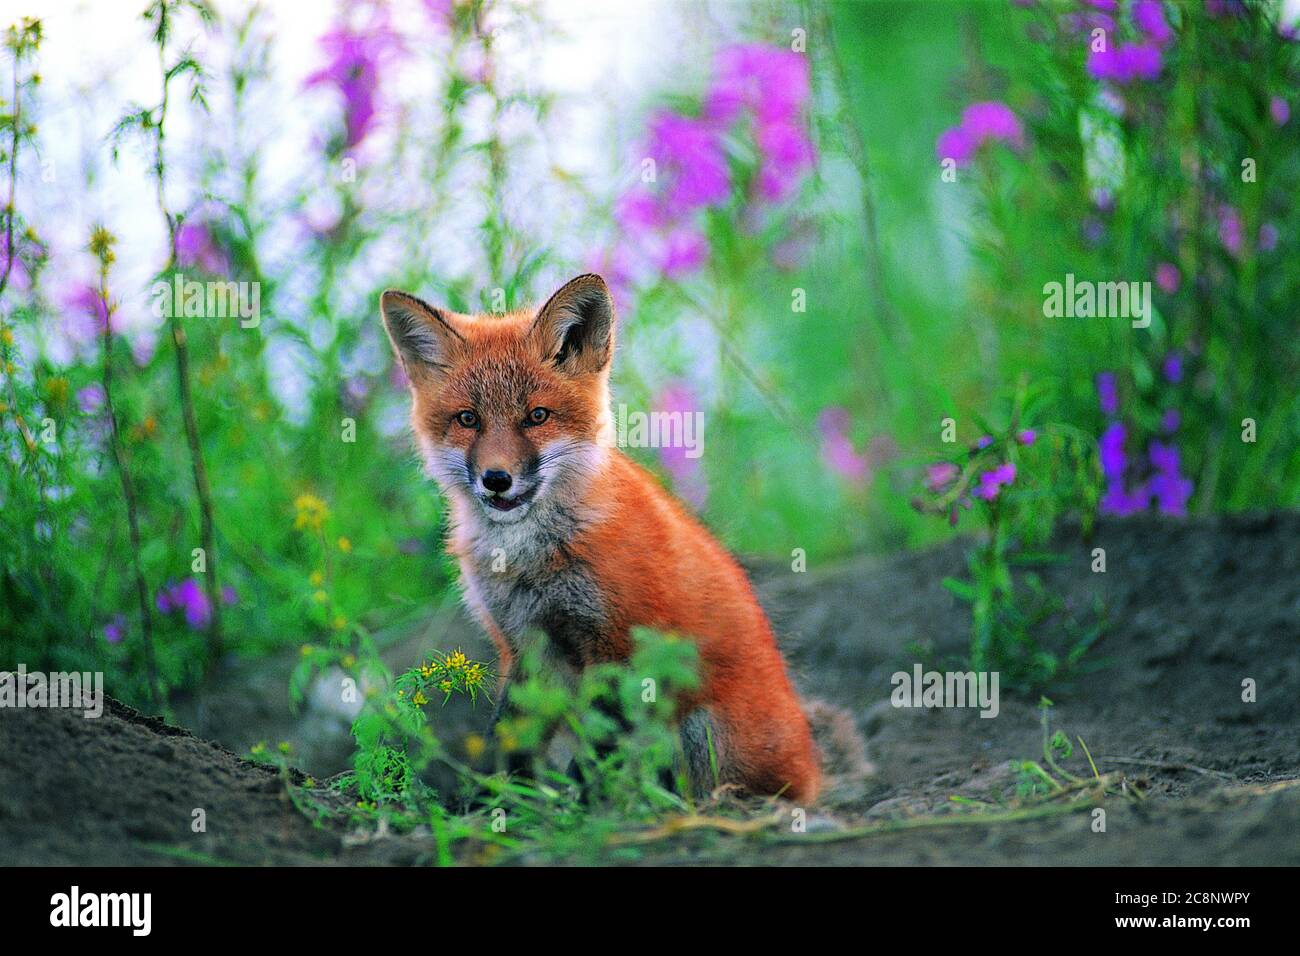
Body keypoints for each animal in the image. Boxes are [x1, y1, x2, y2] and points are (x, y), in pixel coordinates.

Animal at [380, 273, 820, 802]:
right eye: (468, 419)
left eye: (537, 416)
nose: (496, 479)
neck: (533, 557)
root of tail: (811, 772)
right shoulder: (525, 647)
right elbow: (507, 741)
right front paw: (489, 806)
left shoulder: (620, 650)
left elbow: (601, 748)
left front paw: (588, 805)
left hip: (699, 730)